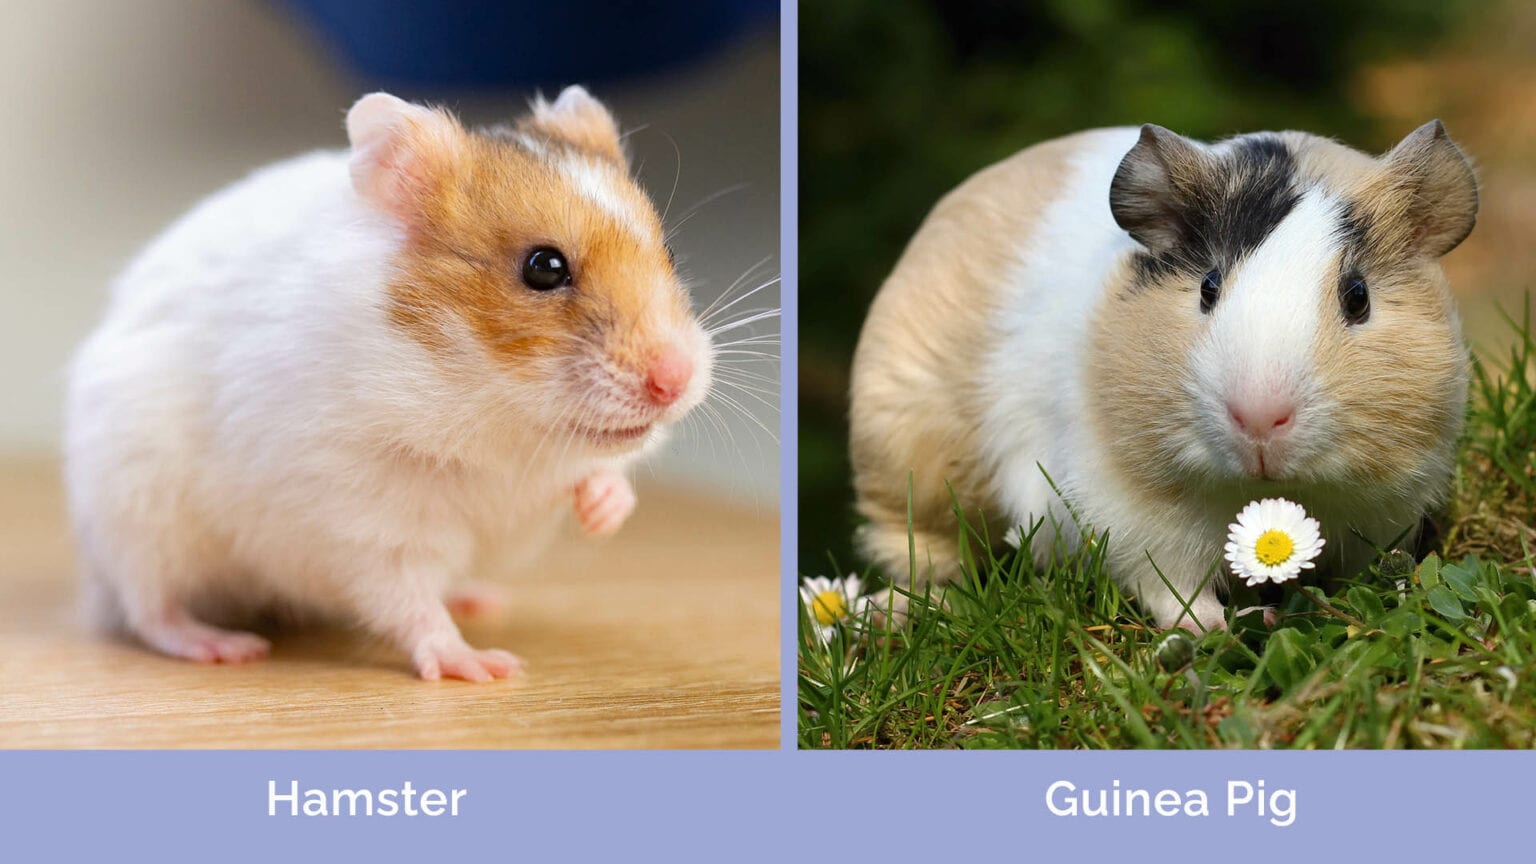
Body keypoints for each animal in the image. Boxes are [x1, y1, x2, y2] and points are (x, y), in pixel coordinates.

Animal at [65, 87, 713, 680]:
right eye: (544, 267)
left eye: (670, 253)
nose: (675, 379)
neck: (488, 414)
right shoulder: (359, 518)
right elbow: (405, 599)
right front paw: (484, 667)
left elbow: (597, 473)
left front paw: (602, 510)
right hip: (136, 513)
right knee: (149, 608)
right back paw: (226, 646)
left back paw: (480, 600)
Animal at [849, 121, 1476, 631]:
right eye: (1208, 287)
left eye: (1358, 297)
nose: (1260, 419)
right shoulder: (1130, 514)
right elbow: (1171, 587)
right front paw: (1221, 627)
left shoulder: (1388, 508)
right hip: (910, 479)